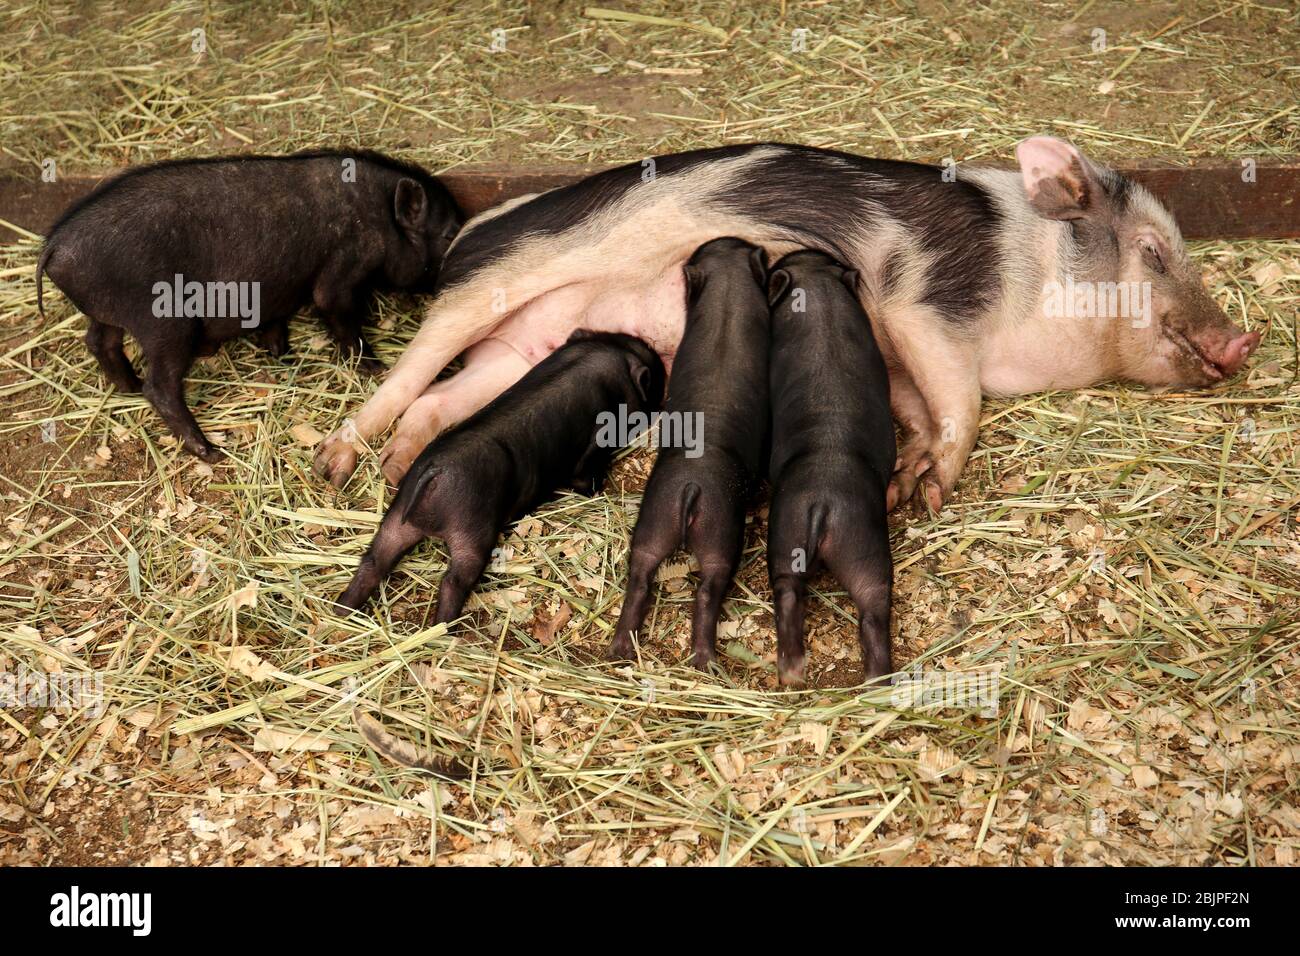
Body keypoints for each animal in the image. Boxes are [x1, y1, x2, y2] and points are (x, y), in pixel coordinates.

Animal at [37, 150, 463, 461]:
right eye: (448, 234)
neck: (380, 216)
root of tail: (55, 245)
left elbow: (276, 319)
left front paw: (281, 354)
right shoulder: (343, 270)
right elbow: (335, 310)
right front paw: (375, 367)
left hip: (107, 309)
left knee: (99, 342)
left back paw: (127, 388)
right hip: (165, 321)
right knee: (159, 386)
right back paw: (209, 451)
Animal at [312, 137, 1260, 515]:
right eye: (1153, 253)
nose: (1242, 341)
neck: (1031, 273)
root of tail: (471, 231)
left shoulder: (903, 351)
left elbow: (916, 406)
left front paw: (901, 479)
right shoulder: (925, 304)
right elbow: (961, 404)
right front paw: (926, 490)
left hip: (522, 350)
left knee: (443, 402)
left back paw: (394, 467)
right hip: (492, 289)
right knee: (412, 368)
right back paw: (333, 462)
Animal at [335, 330, 665, 619]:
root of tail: (435, 473)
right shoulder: (595, 443)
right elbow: (584, 476)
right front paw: (599, 490)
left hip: (397, 514)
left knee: (374, 559)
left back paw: (343, 609)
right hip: (472, 529)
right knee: (454, 580)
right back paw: (446, 626)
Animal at [608, 237, 770, 669]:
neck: (728, 287)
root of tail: (691, 488)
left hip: (654, 519)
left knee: (639, 575)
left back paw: (620, 650)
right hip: (721, 532)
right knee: (708, 590)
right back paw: (704, 660)